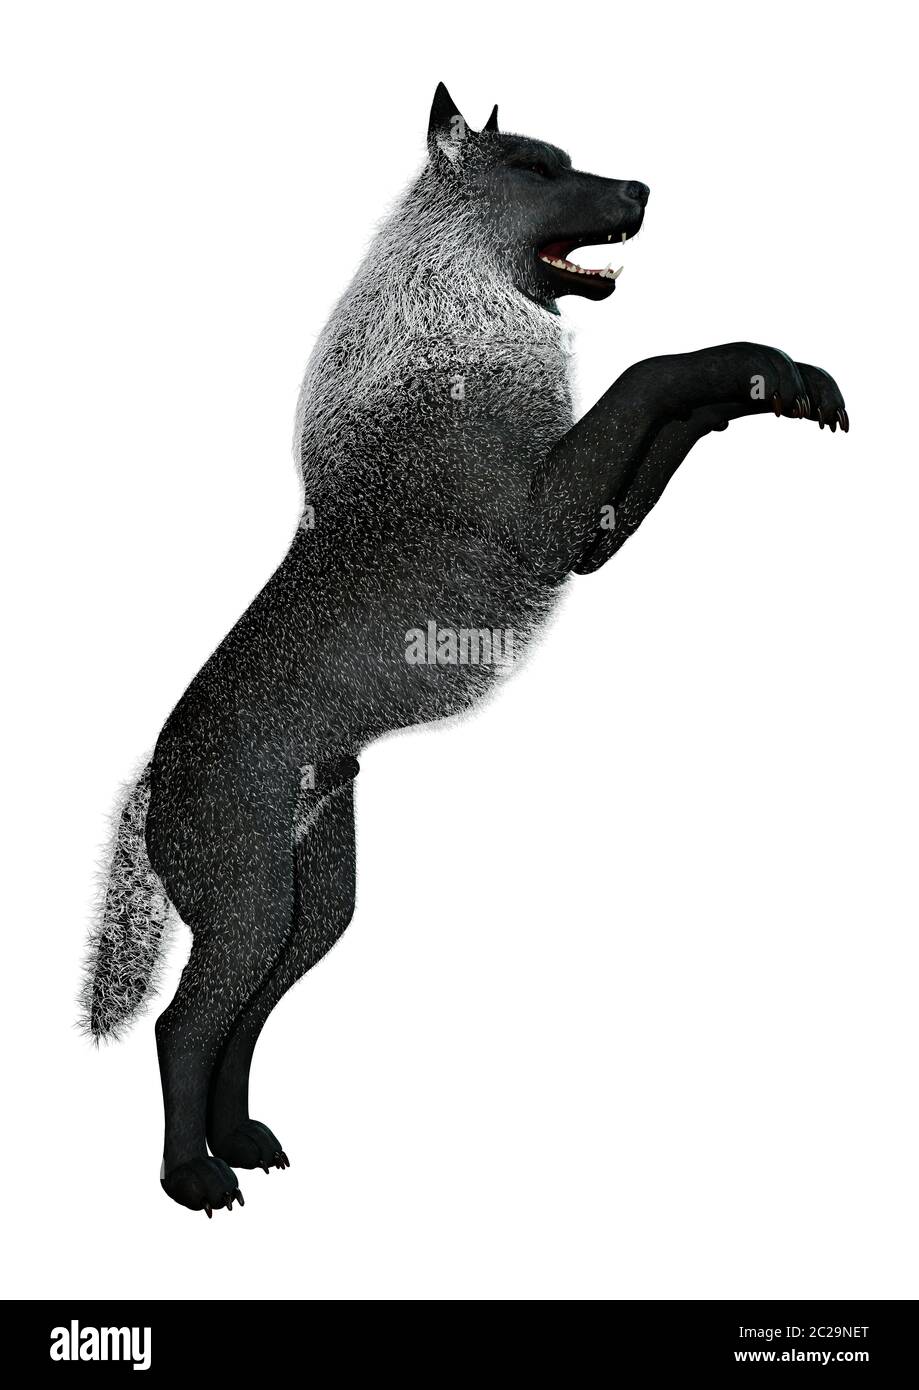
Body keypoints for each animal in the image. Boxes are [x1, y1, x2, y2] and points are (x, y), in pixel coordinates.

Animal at [81, 84, 847, 1214]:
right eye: (534, 167)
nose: (643, 187)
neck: (456, 315)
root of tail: (147, 781)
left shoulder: (588, 534)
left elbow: (682, 401)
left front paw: (785, 379)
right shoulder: (544, 515)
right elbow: (647, 372)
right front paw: (768, 370)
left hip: (314, 905)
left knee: (245, 1017)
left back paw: (245, 1139)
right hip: (249, 897)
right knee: (187, 1022)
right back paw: (193, 1174)